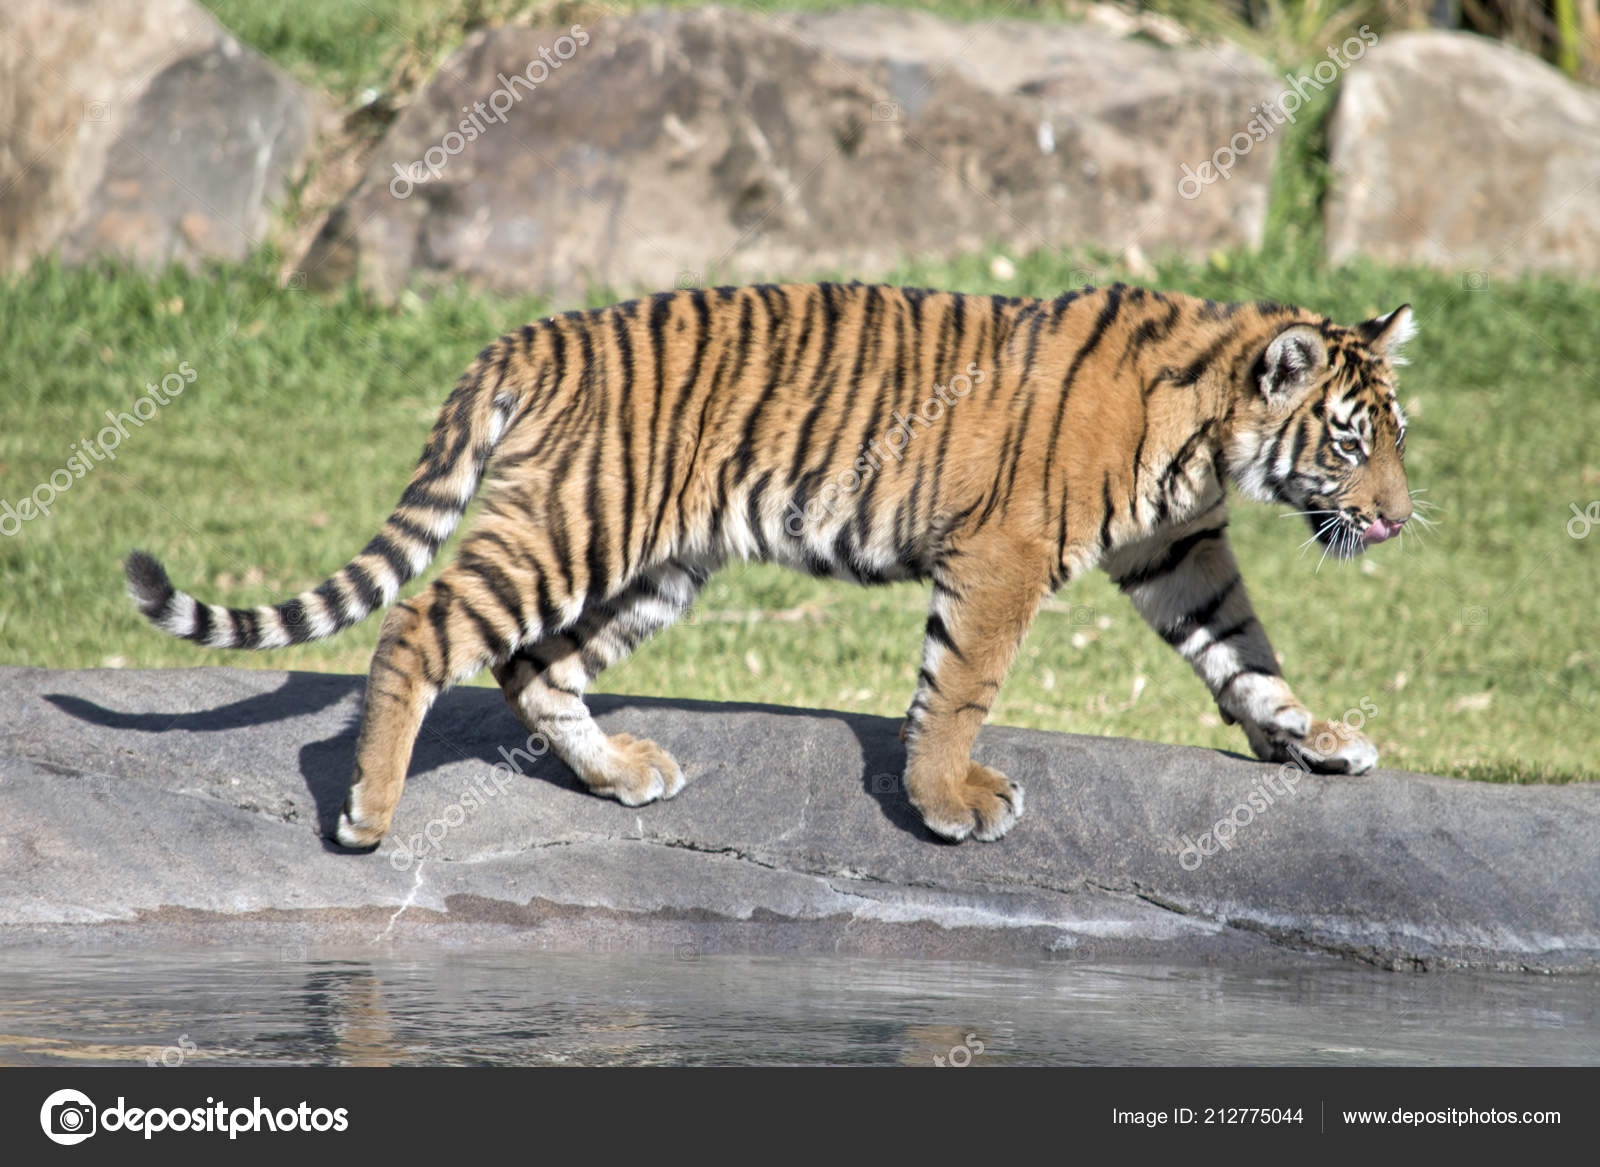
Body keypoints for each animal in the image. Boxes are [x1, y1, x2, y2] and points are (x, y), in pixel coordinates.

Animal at [124, 281, 1417, 850]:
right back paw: (370, 813)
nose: (1402, 522)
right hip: (576, 526)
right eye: (1353, 442)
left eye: (1396, 435)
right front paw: (949, 803)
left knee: (536, 670)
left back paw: (620, 774)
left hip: (653, 564)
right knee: (425, 626)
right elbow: (961, 688)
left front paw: (1314, 740)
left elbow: (1245, 657)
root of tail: (531, 333)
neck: (1208, 440)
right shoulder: (1000, 557)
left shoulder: (1179, 554)